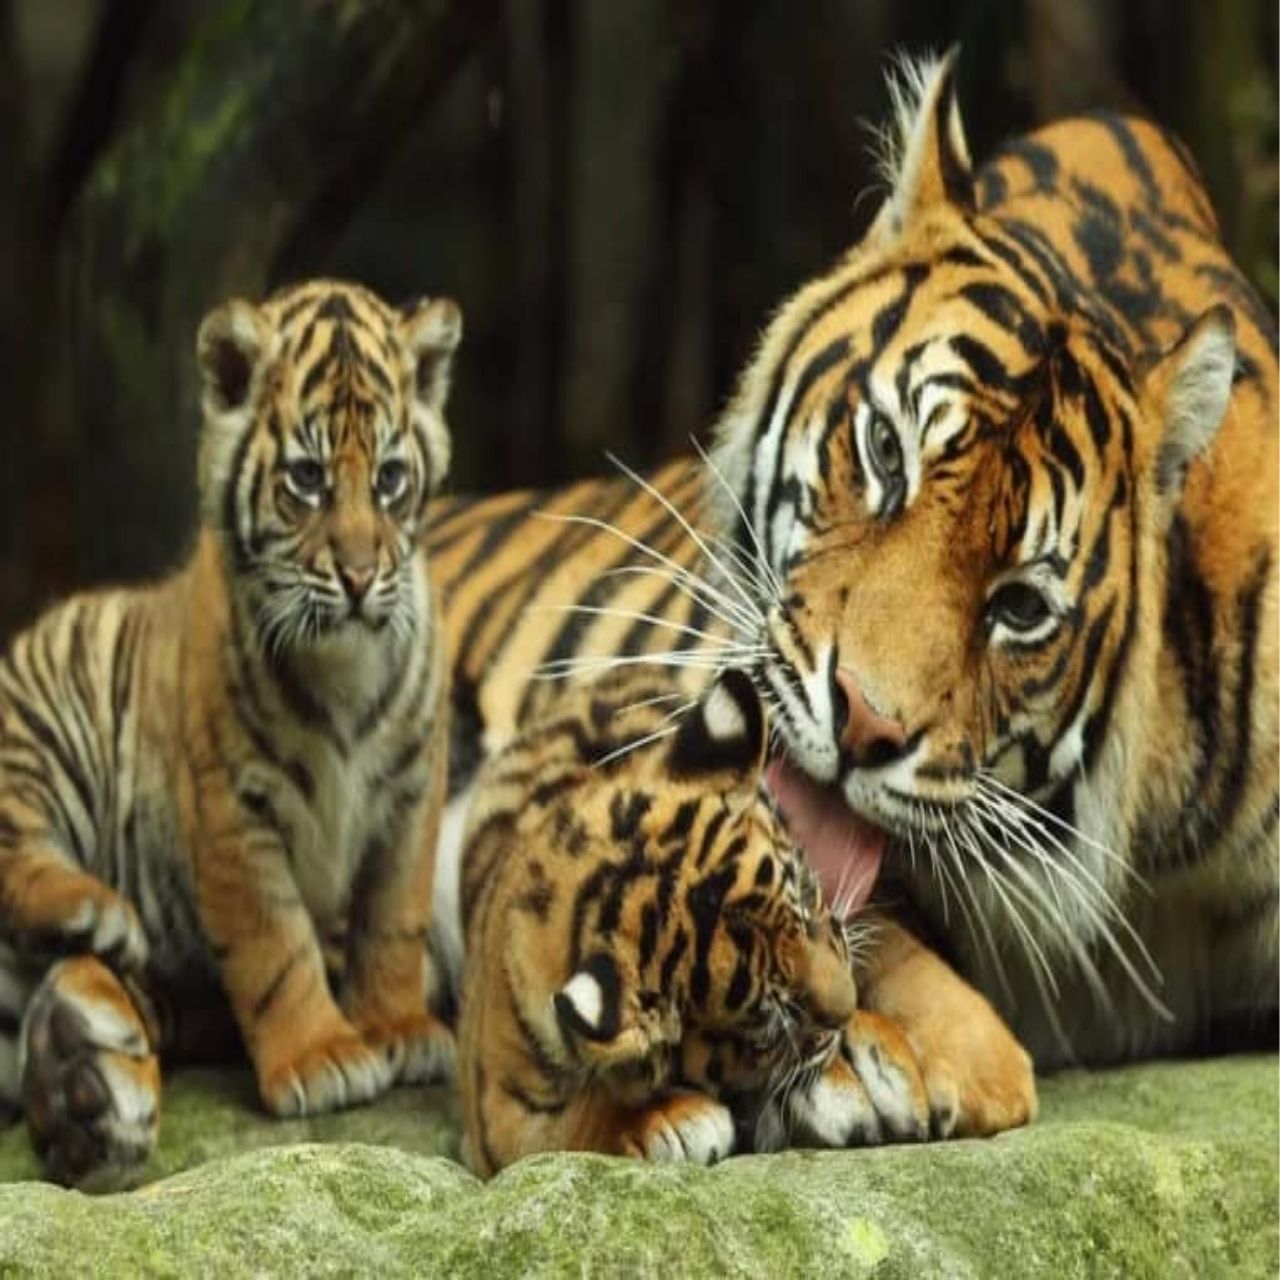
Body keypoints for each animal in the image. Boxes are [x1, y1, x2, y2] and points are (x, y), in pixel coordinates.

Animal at [0, 279, 460, 1188]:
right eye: (307, 480)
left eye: (391, 479)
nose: (360, 576)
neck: (344, 664)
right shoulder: (232, 810)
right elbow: (276, 945)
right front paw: (322, 1057)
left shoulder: (410, 793)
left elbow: (394, 918)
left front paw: (397, 1029)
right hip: (43, 726)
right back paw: (94, 914)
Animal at [457, 665, 930, 1177]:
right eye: (771, 1022)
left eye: (806, 896)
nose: (846, 1008)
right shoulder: (502, 1114)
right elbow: (576, 1125)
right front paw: (674, 1118)